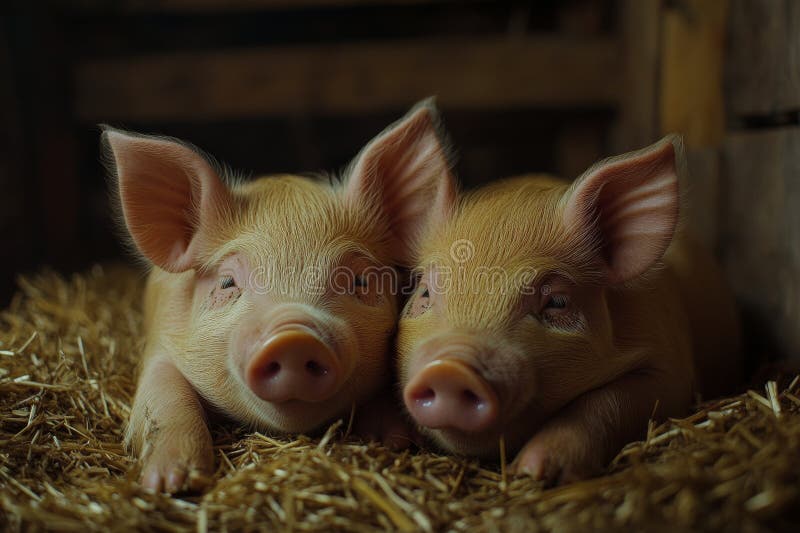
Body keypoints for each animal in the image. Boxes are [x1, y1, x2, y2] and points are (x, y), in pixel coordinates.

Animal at [103, 99, 454, 493]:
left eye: (360, 281)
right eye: (227, 283)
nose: (294, 338)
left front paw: (394, 441)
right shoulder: (160, 345)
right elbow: (164, 398)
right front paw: (171, 484)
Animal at [395, 134, 742, 485]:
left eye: (557, 302)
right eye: (425, 292)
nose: (449, 369)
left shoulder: (671, 366)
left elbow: (606, 403)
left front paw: (532, 470)